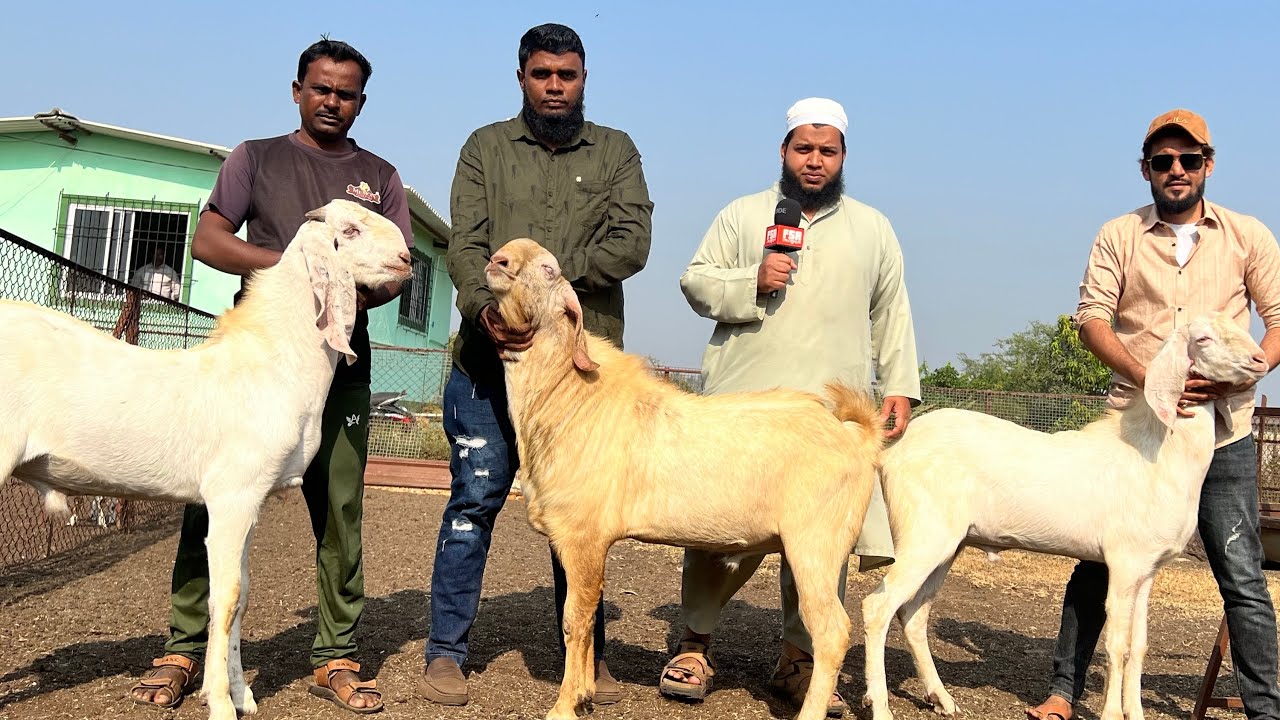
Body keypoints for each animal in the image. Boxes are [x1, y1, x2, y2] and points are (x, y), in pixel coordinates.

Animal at [484, 237, 885, 720]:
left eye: (548, 269)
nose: (497, 260)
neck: (570, 395)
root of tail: (857, 437)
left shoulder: (582, 534)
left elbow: (574, 620)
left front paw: (563, 705)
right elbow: (586, 612)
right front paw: (584, 693)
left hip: (817, 542)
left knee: (832, 630)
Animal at [860, 312, 1269, 720]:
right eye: (1203, 339)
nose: (1259, 360)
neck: (1158, 454)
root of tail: (893, 448)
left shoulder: (1148, 569)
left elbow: (1138, 646)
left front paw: (1135, 712)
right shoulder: (1123, 562)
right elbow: (1117, 645)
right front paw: (1112, 714)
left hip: (949, 543)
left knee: (913, 614)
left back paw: (942, 698)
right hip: (923, 533)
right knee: (877, 607)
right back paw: (880, 705)